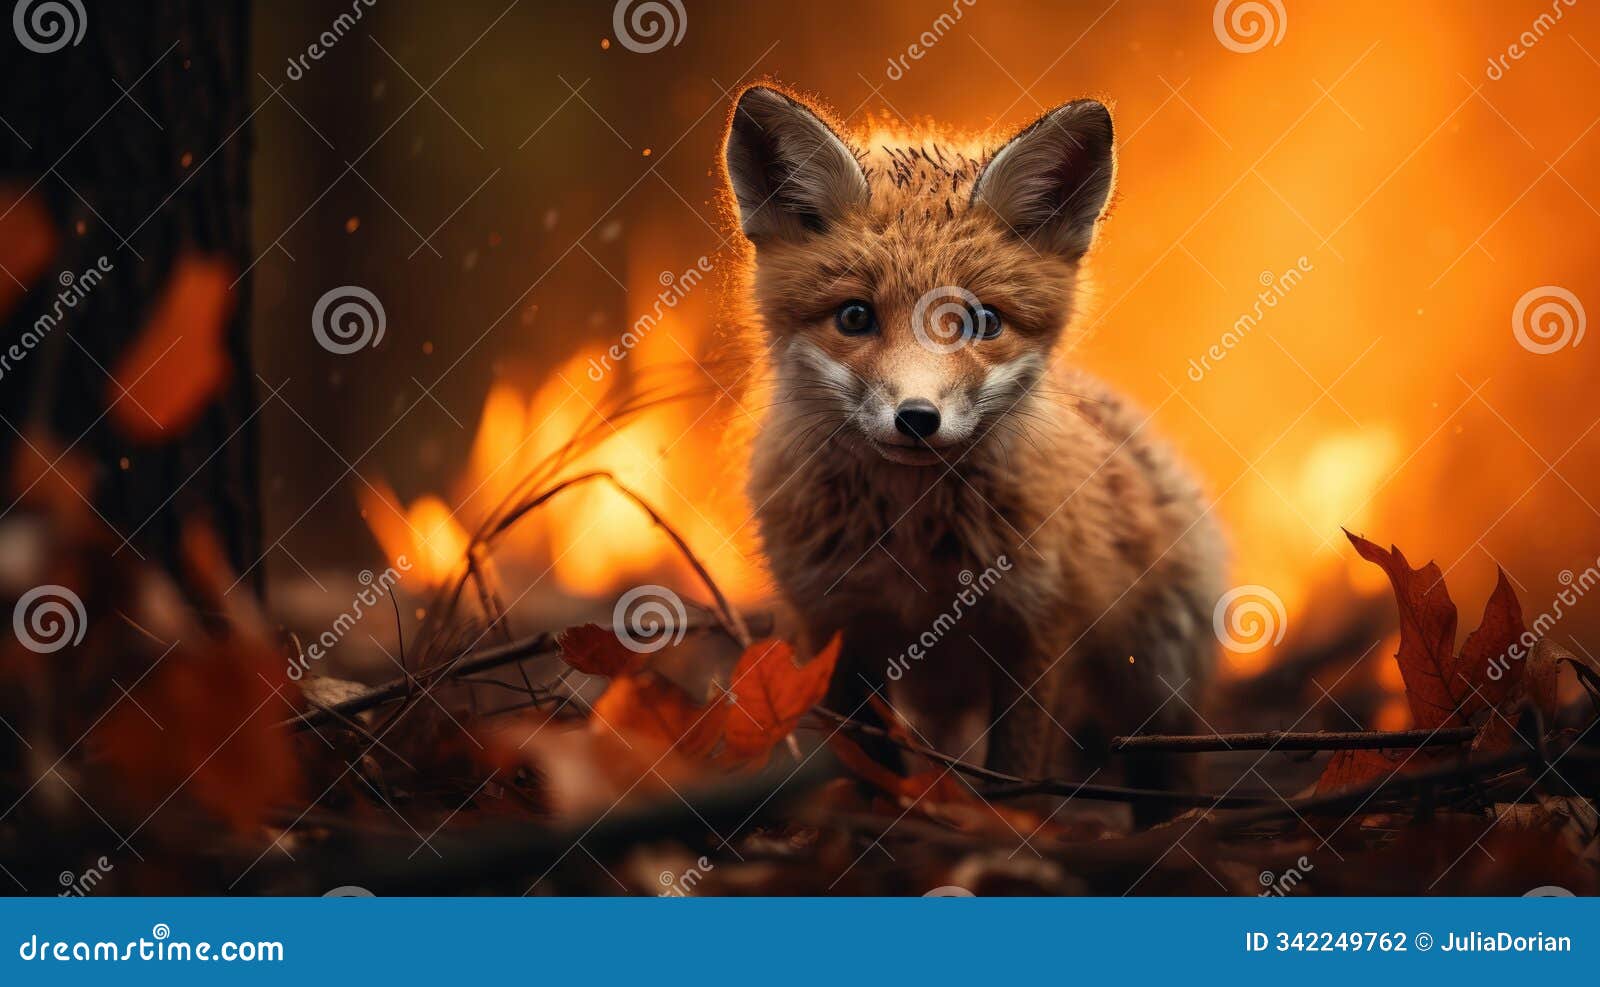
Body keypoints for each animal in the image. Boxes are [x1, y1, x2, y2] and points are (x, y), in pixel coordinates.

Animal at [722, 85, 1225, 810]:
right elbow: (874, 766)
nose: (917, 418)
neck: (912, 548)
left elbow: (1016, 772)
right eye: (855, 316)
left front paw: (1009, 831)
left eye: (981, 321)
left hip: (1158, 689)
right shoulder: (837, 628)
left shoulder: (1035, 628)